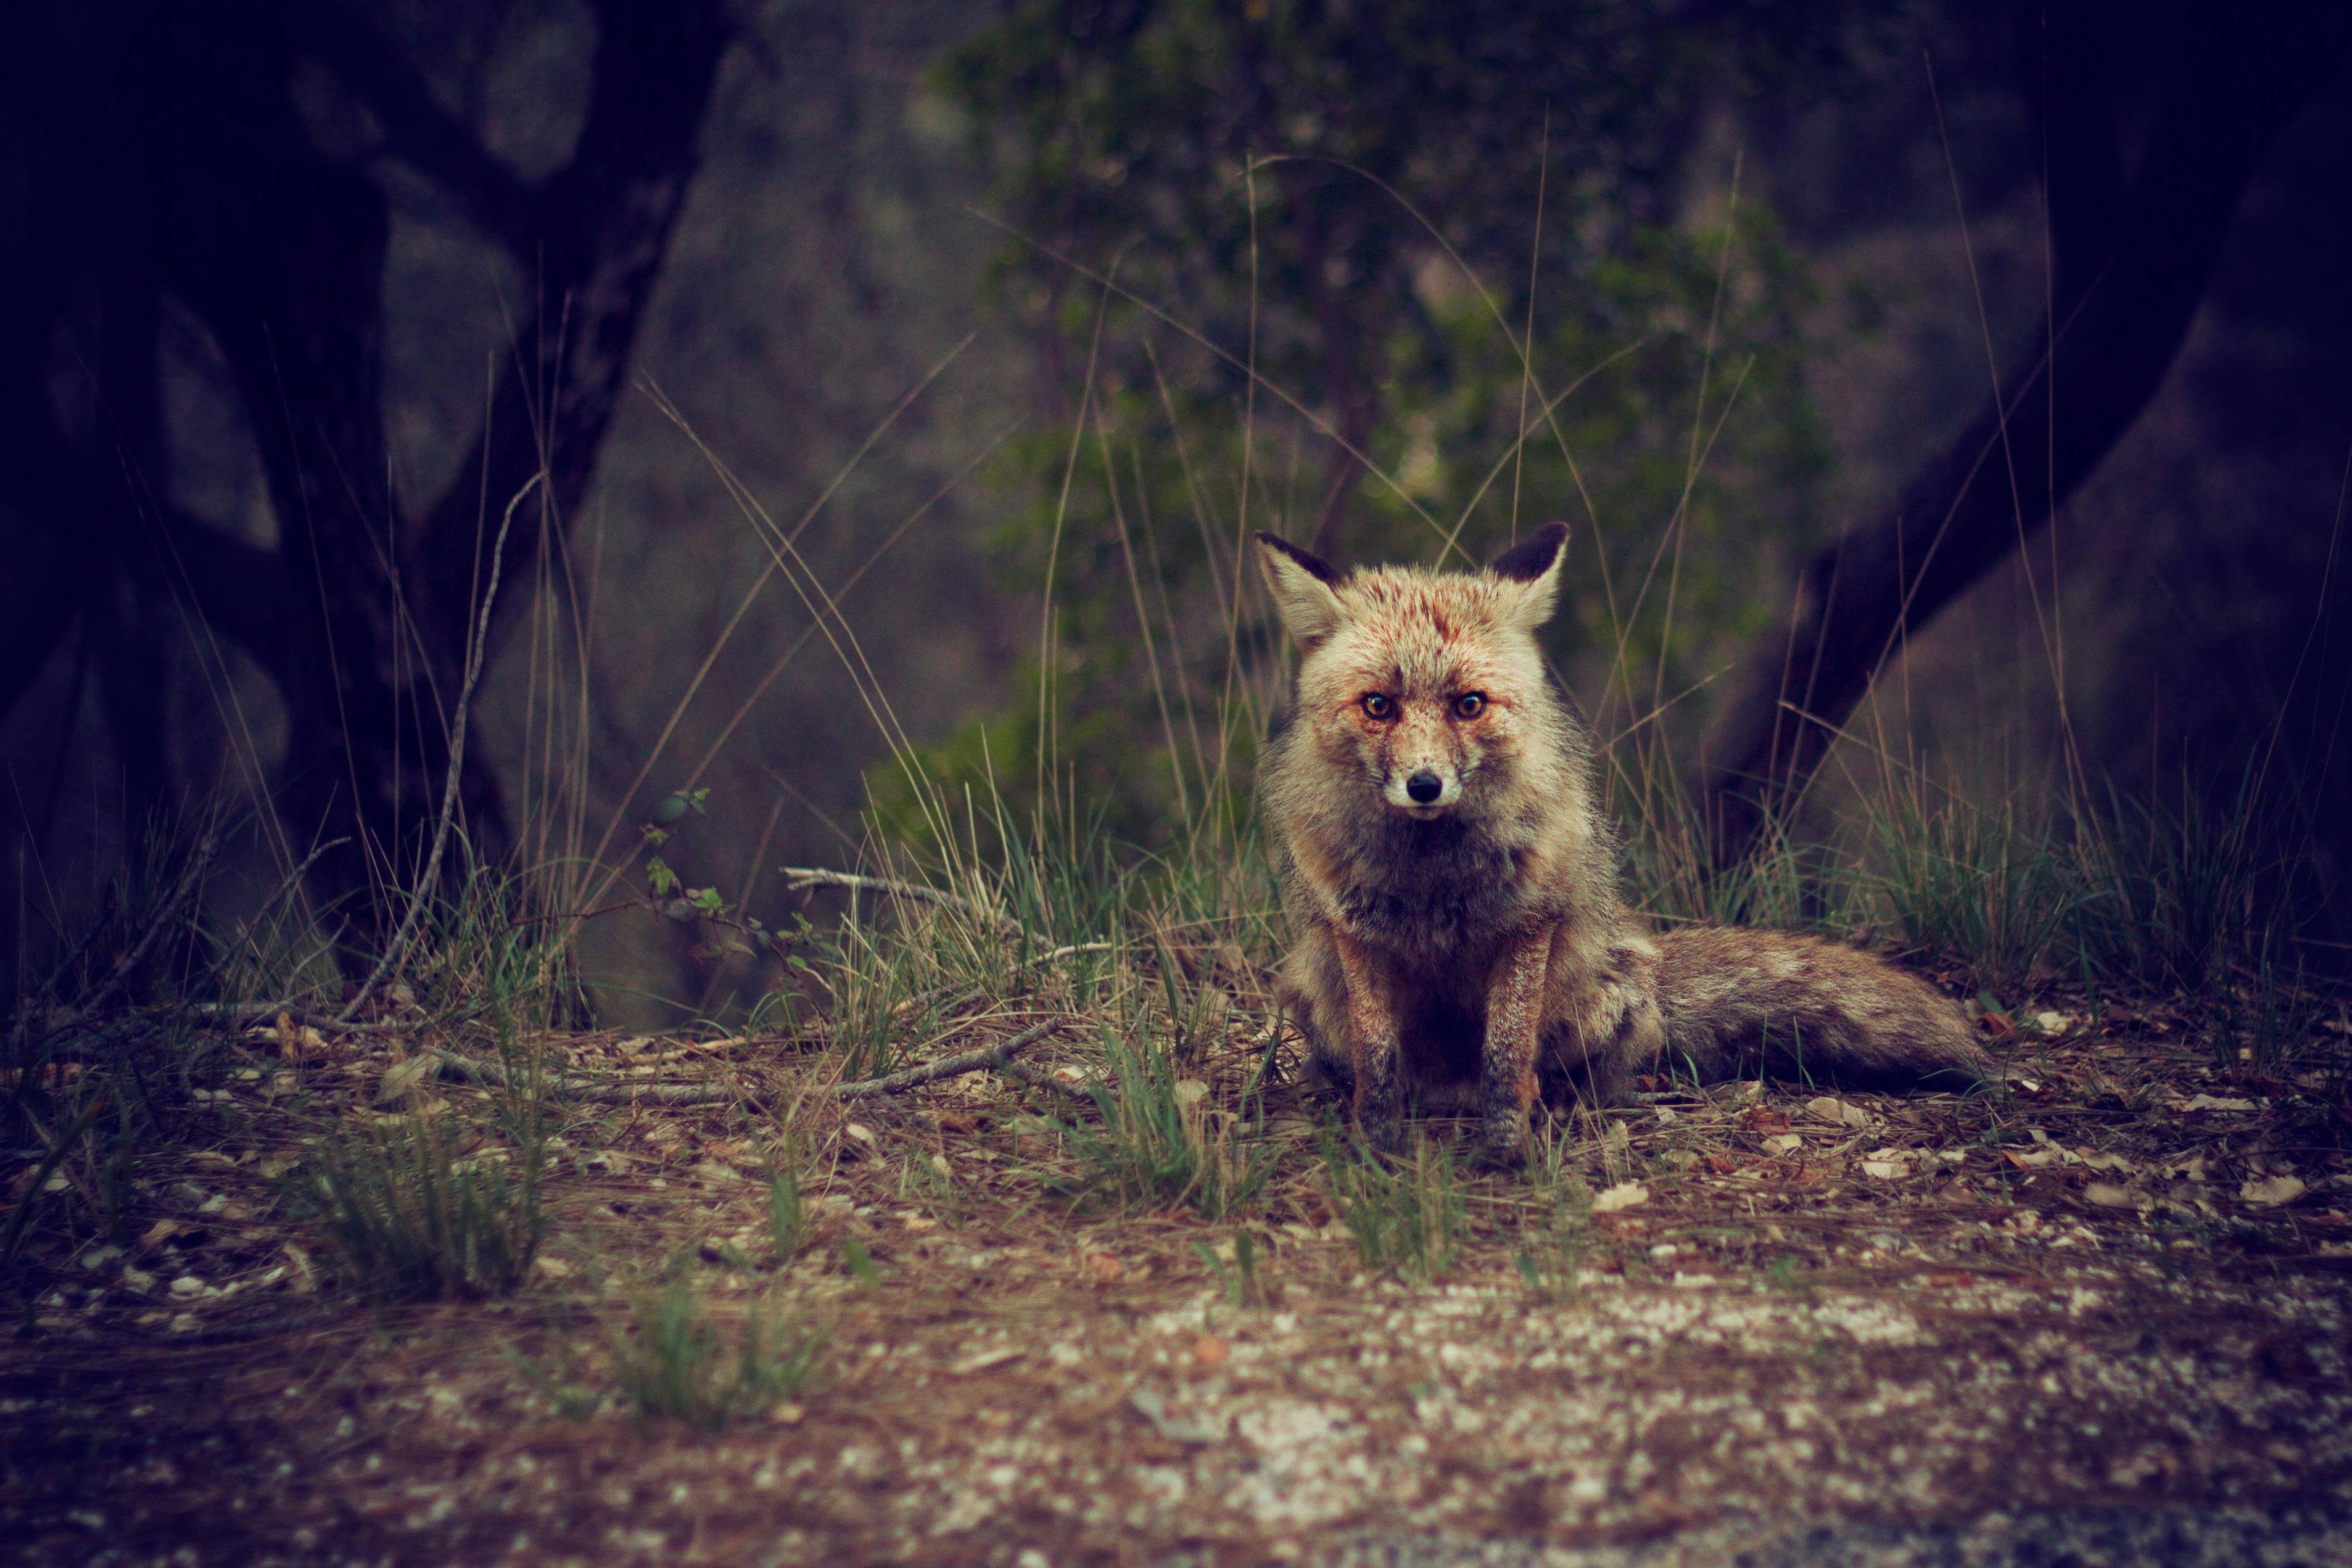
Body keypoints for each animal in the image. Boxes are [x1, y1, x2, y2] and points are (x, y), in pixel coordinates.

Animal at [1254, 522, 1991, 1166]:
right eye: (1378, 706)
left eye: (1469, 704)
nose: (1425, 785)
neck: (1431, 879)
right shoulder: (1356, 929)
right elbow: (1377, 1062)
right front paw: (1375, 1147)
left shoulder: (1529, 921)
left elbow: (1505, 1054)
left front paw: (1507, 1150)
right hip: (1312, 991)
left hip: (1603, 1005)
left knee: (1583, 1074)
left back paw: (1567, 1103)